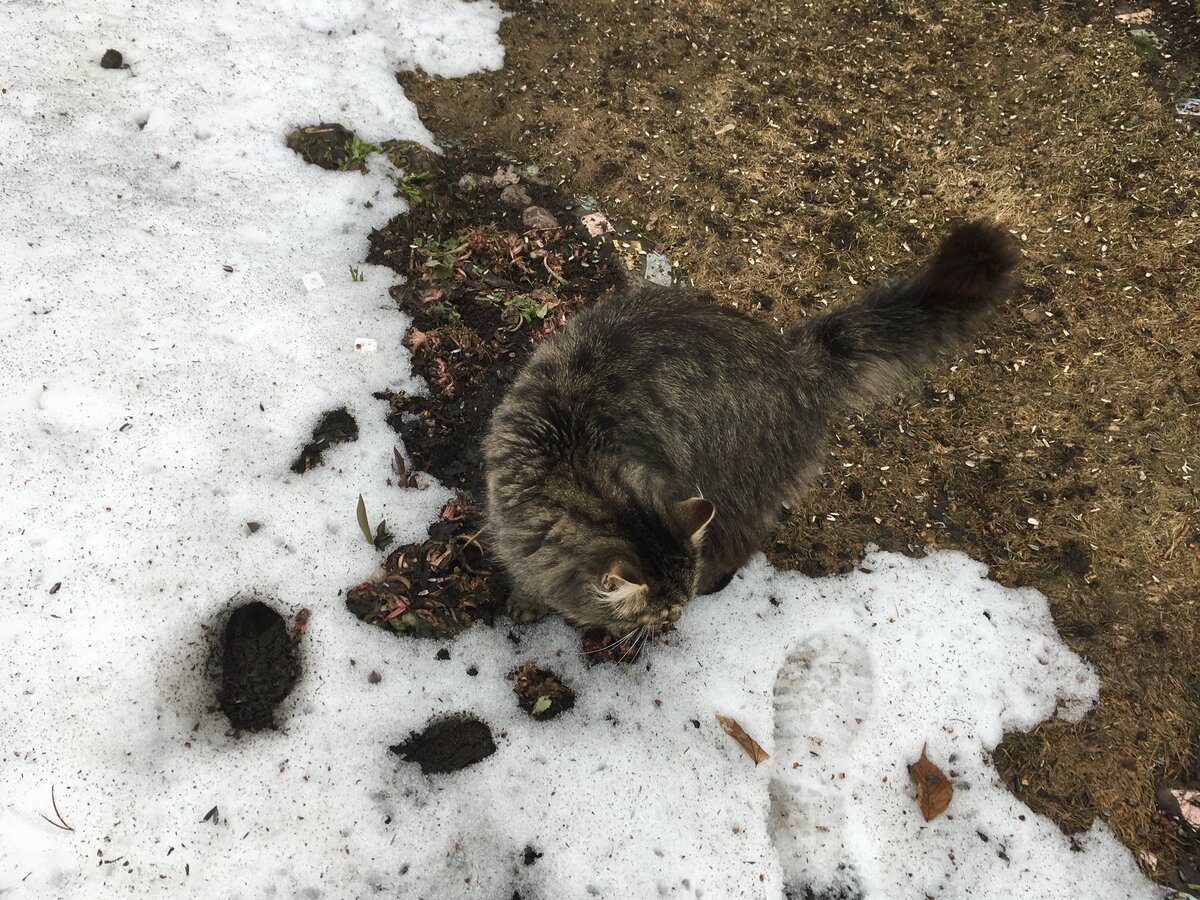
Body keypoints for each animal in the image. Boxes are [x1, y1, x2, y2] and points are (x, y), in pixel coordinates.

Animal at [482, 220, 1017, 633]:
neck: (572, 460)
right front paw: (526, 597)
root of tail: (790, 358)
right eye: (658, 614)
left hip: (736, 488)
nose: (676, 621)